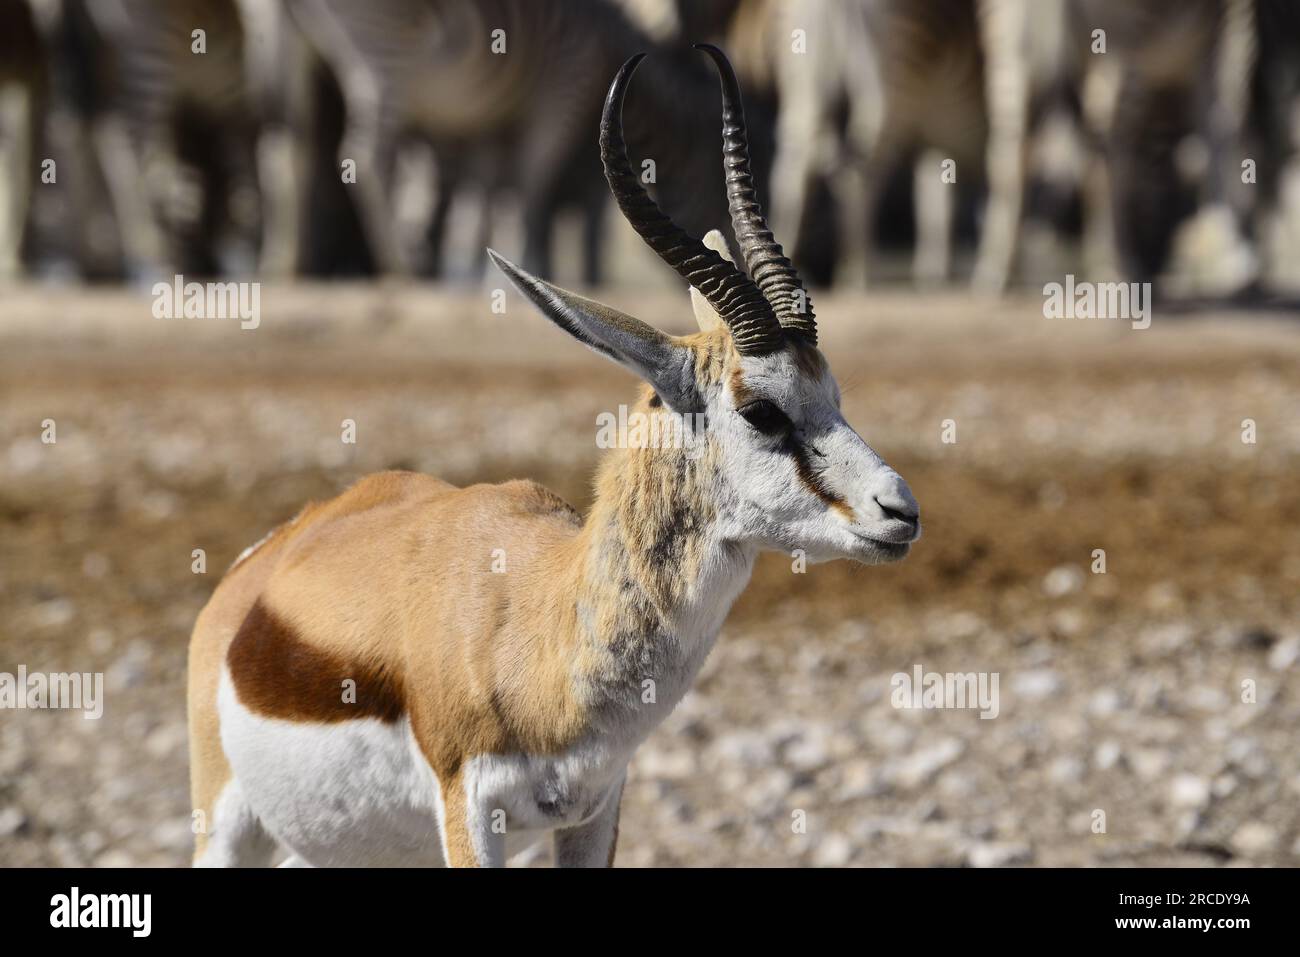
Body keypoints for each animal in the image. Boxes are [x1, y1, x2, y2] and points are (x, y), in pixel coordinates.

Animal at [186, 46, 921, 868]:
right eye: (762, 409)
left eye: (835, 395)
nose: (899, 511)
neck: (539, 622)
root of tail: (260, 566)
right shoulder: (470, 812)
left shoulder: (595, 808)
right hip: (229, 828)